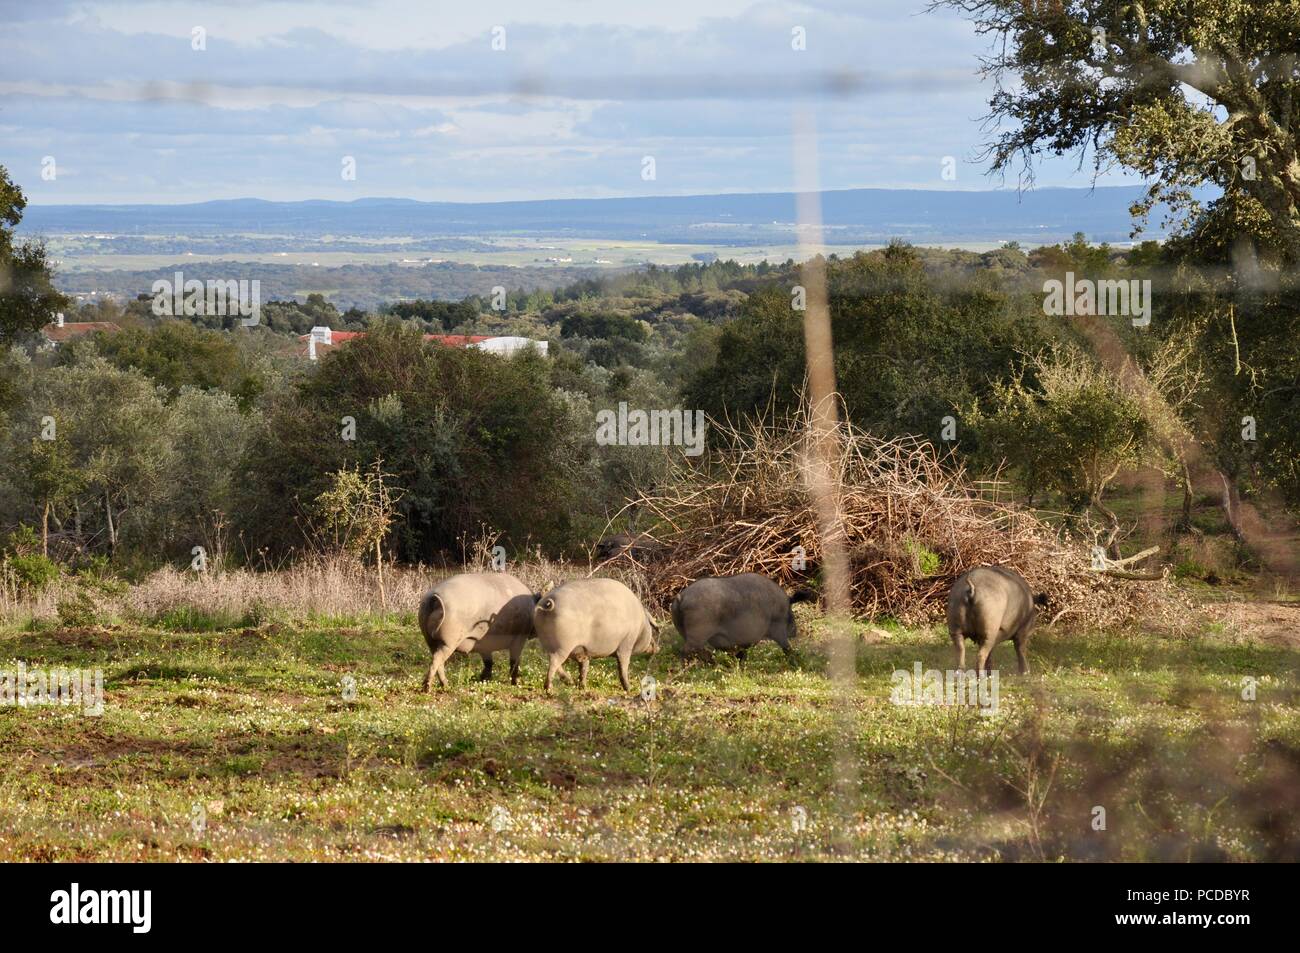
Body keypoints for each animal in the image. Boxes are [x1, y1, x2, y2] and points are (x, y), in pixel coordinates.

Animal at [532, 578, 660, 692]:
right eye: (651, 629)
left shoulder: (583, 652)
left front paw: (582, 687)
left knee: (552, 661)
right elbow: (623, 666)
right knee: (554, 662)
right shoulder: (626, 643)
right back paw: (549, 689)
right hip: (563, 646)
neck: (641, 624)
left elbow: (584, 668)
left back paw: (570, 682)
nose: (657, 648)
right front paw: (629, 689)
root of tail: (547, 602)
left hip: (548, 644)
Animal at [670, 573, 817, 662]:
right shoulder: (777, 628)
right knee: (687, 650)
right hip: (698, 631)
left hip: (683, 630)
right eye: (792, 614)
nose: (795, 632)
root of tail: (681, 597)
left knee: (695, 649)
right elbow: (786, 647)